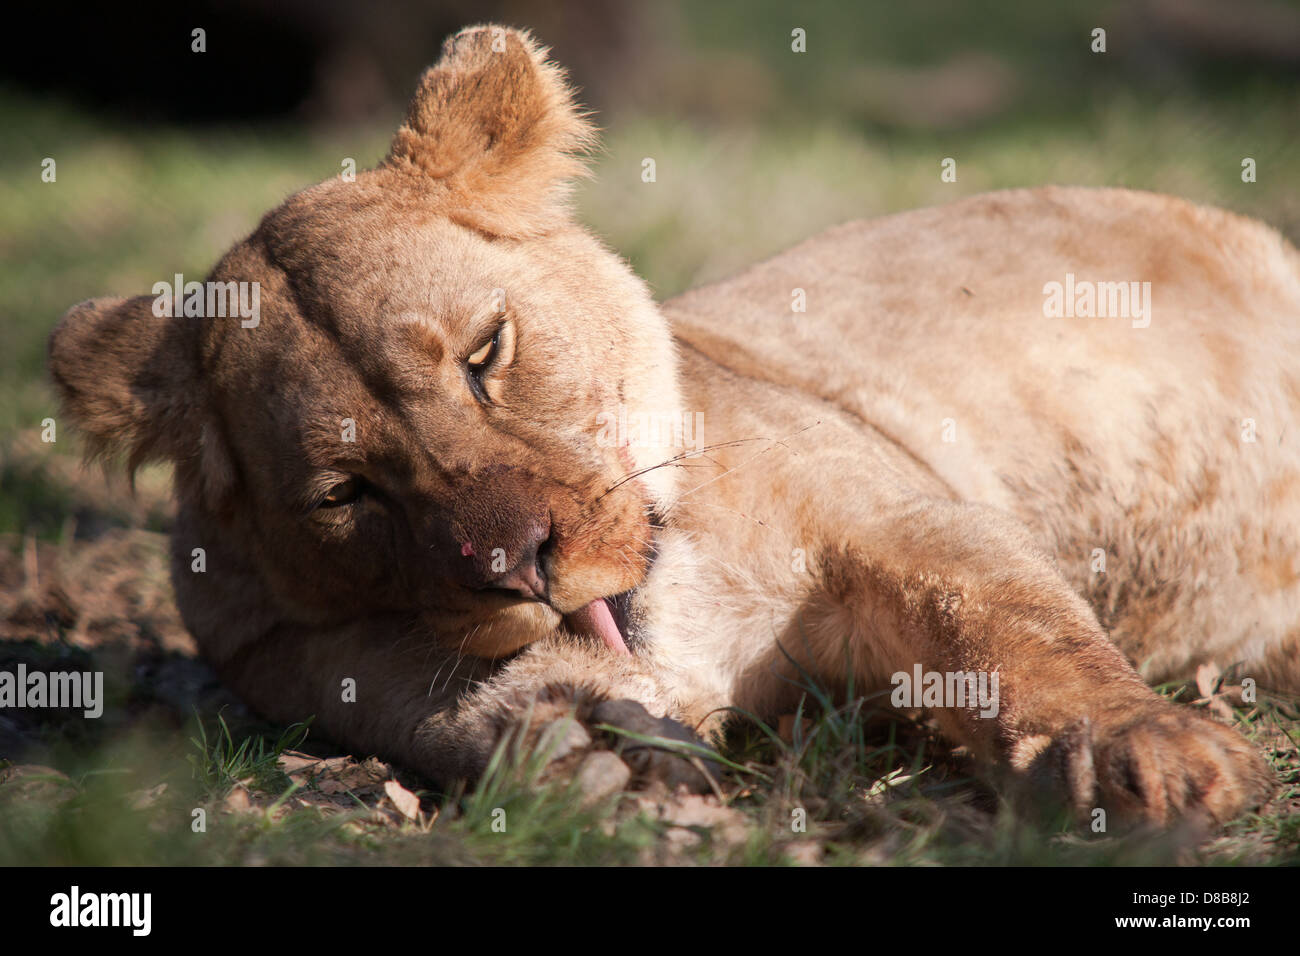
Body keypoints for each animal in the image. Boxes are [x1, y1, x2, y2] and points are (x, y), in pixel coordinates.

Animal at [47, 25, 1299, 828]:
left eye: (485, 354)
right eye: (345, 491)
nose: (521, 564)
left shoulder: (907, 516)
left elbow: (1023, 630)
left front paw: (1142, 747)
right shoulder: (302, 653)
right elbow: (446, 686)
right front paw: (588, 738)